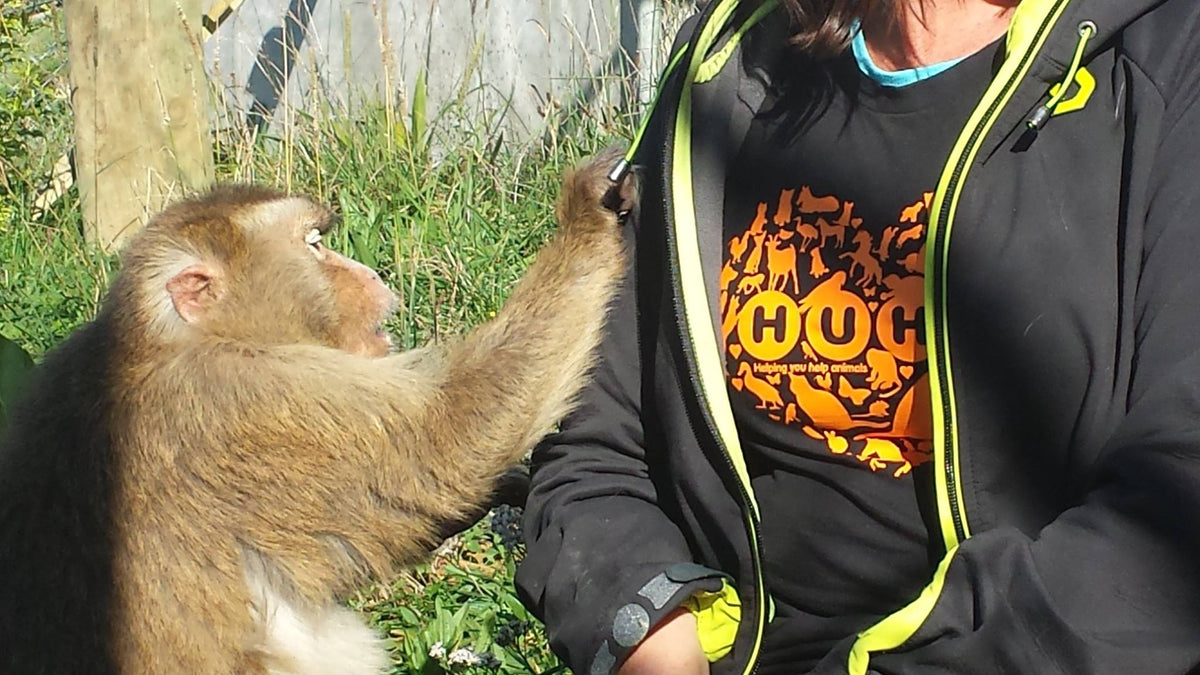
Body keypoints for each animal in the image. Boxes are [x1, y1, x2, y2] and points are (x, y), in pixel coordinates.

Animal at [0, 150, 634, 674]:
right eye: (313, 245)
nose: (367, 272)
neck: (166, 343)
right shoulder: (255, 405)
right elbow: (442, 443)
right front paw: (587, 217)